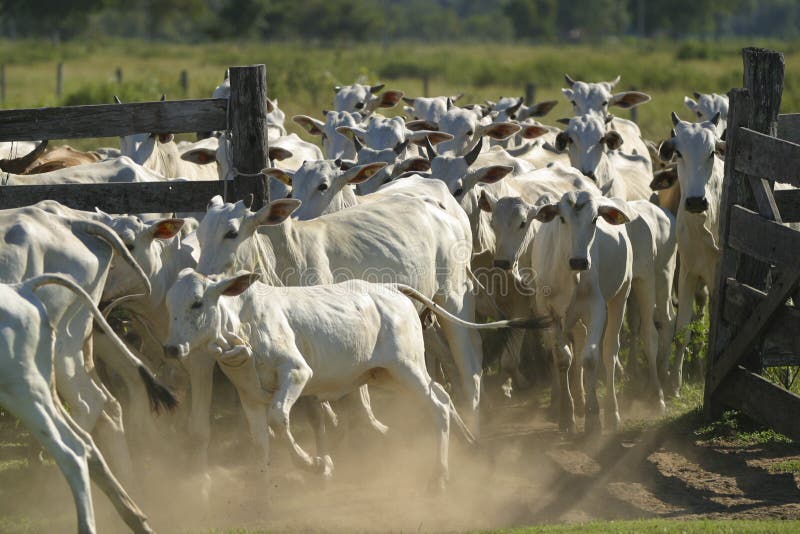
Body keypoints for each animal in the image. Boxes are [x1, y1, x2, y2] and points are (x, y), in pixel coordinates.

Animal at [1, 273, 157, 534]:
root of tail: (22, 289)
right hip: (45, 391)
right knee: (88, 445)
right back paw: (137, 519)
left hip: (24, 393)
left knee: (72, 451)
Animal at [650, 112, 725, 394]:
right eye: (679, 153)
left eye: (712, 152)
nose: (695, 201)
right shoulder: (687, 273)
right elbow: (682, 329)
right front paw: (674, 381)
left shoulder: (718, 279)